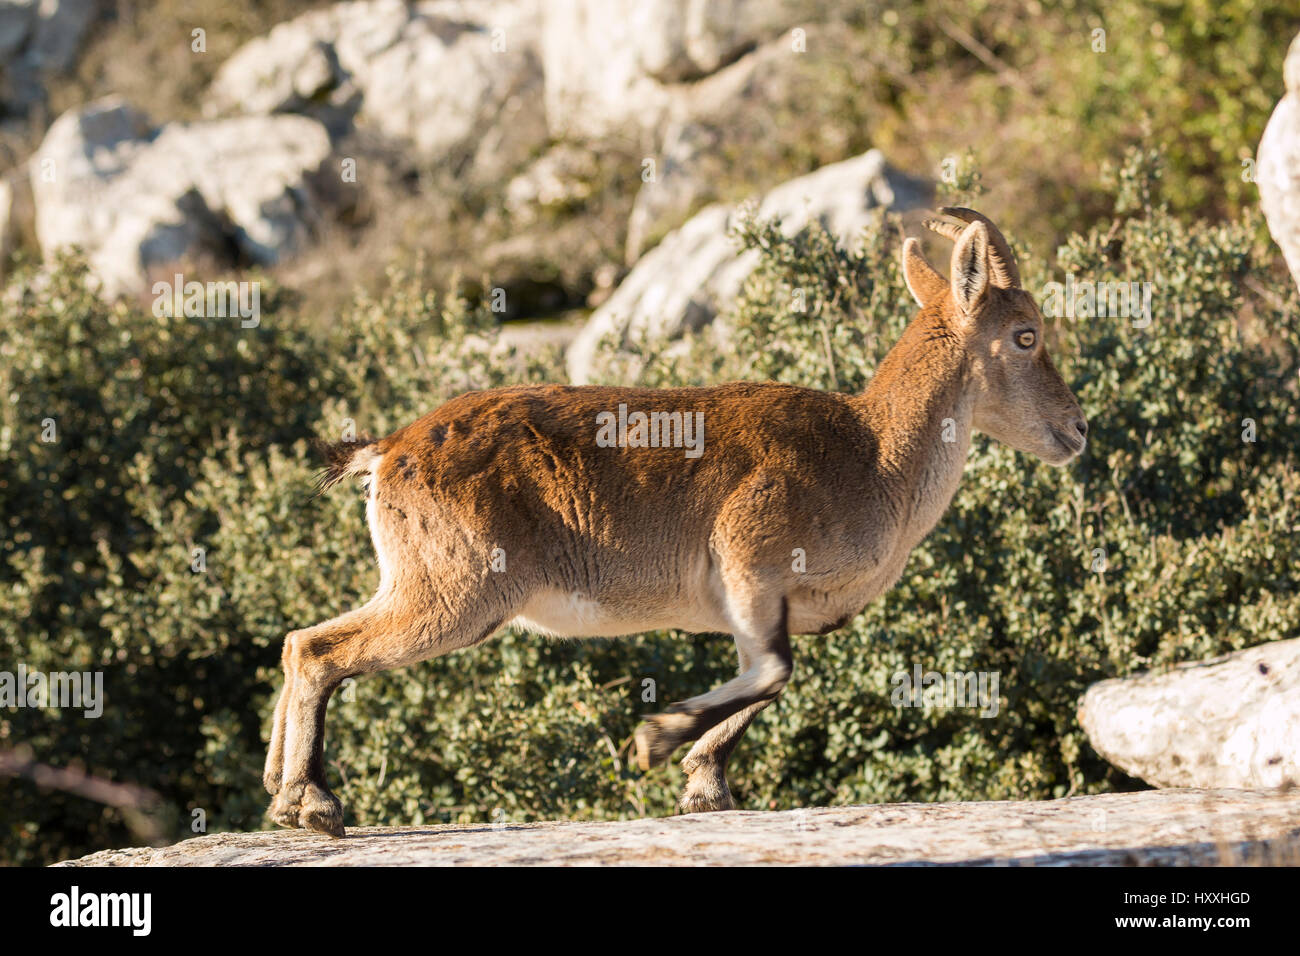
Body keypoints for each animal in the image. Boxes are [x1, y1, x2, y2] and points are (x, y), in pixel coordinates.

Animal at [264, 208, 1088, 836]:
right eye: (1026, 335)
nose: (1077, 429)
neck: (875, 454)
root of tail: (388, 453)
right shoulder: (750, 554)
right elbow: (773, 671)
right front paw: (660, 742)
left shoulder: (763, 605)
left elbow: (764, 678)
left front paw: (703, 785)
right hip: (457, 591)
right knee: (322, 650)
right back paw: (315, 803)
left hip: (417, 579)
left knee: (301, 639)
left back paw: (279, 784)